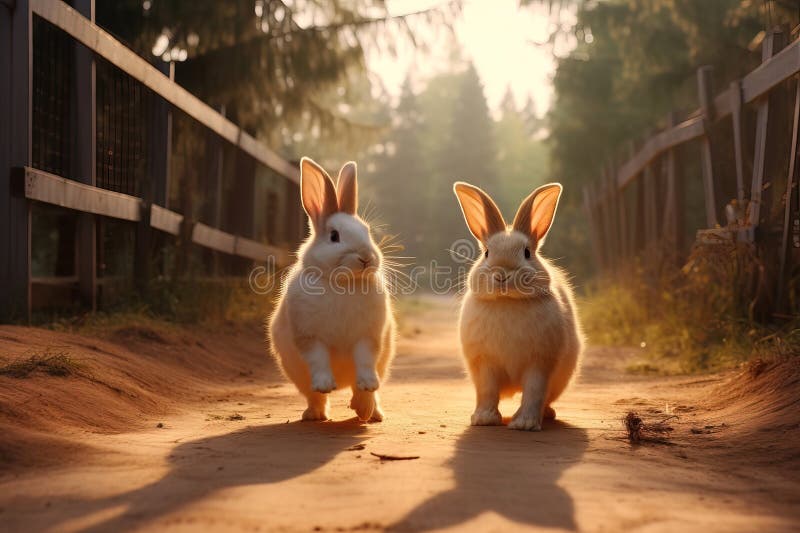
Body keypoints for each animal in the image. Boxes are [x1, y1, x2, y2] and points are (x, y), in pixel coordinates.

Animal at [268, 157, 396, 423]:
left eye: (367, 231)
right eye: (334, 236)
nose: (366, 258)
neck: (343, 284)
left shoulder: (369, 336)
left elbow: (365, 361)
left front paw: (368, 385)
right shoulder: (309, 336)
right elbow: (318, 360)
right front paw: (325, 384)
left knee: (363, 392)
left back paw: (369, 412)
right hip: (298, 375)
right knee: (313, 396)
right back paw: (314, 415)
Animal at [452, 181, 584, 431]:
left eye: (527, 252)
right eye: (487, 253)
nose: (502, 274)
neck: (508, 301)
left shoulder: (539, 364)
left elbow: (533, 393)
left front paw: (524, 424)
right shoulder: (485, 365)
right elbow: (487, 392)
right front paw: (484, 420)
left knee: (544, 398)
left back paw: (547, 414)